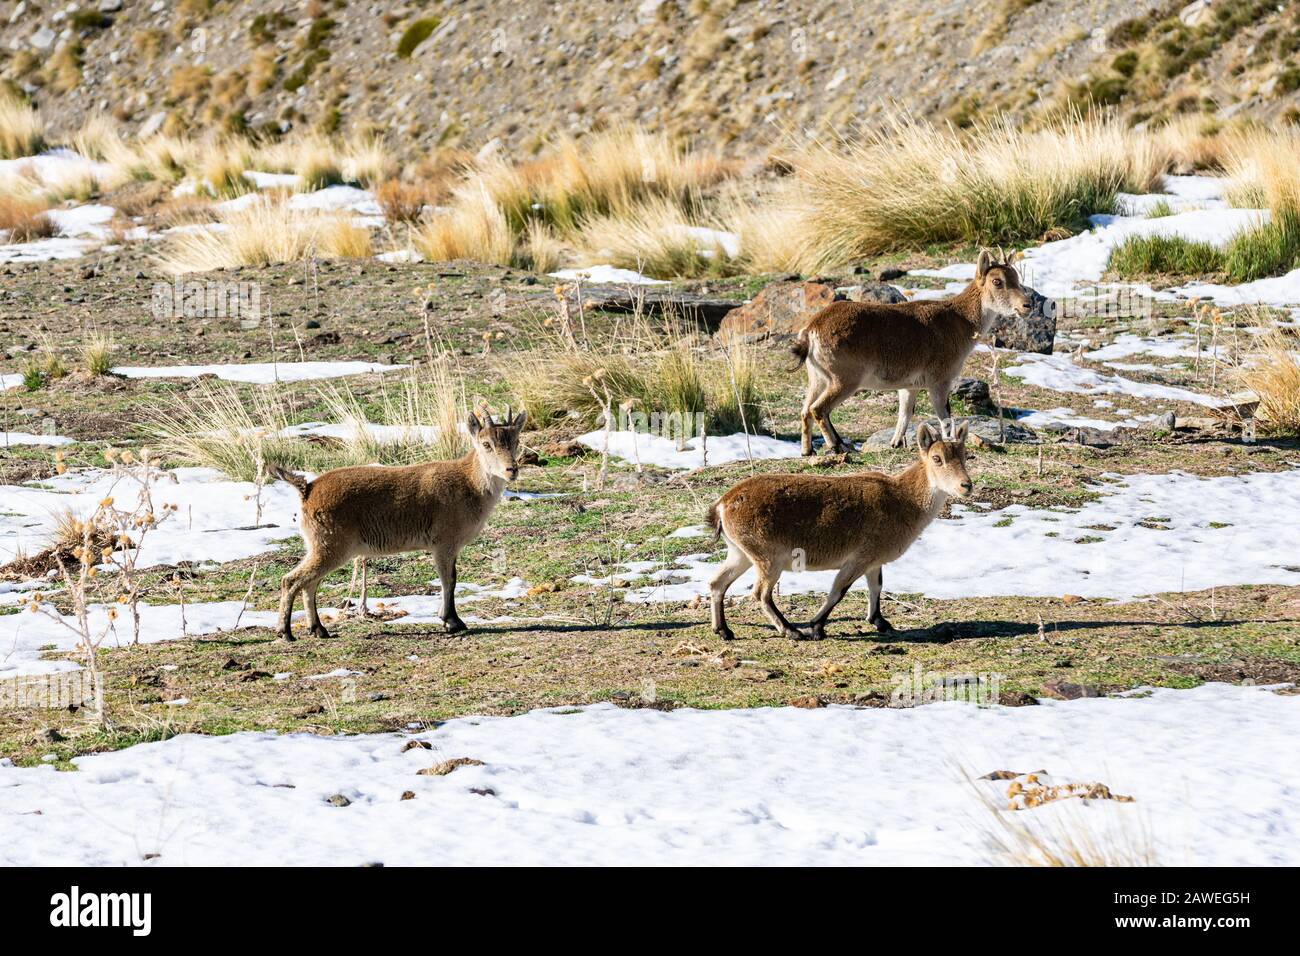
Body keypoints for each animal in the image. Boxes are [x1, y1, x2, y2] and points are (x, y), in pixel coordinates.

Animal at [269, 407, 527, 640]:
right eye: (486, 444)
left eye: (515, 440)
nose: (511, 470)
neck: (469, 483)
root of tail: (307, 490)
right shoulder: (444, 543)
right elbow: (449, 580)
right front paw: (452, 621)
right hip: (330, 545)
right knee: (291, 580)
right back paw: (286, 632)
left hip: (319, 546)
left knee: (309, 583)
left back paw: (318, 629)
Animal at [705, 420, 971, 640]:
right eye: (937, 458)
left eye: (964, 455)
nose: (966, 485)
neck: (903, 500)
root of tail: (722, 505)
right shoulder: (858, 558)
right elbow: (838, 590)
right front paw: (816, 627)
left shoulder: (873, 561)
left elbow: (876, 586)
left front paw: (880, 621)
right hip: (769, 557)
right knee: (760, 593)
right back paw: (791, 631)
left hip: (740, 553)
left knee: (718, 583)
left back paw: (724, 630)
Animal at [792, 251, 1031, 453]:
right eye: (997, 281)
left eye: (1016, 278)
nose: (1026, 305)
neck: (960, 320)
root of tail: (811, 330)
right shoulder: (939, 381)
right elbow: (944, 417)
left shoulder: (909, 386)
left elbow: (904, 413)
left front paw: (895, 443)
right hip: (844, 379)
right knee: (818, 409)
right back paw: (837, 446)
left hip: (817, 377)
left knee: (805, 410)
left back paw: (807, 450)